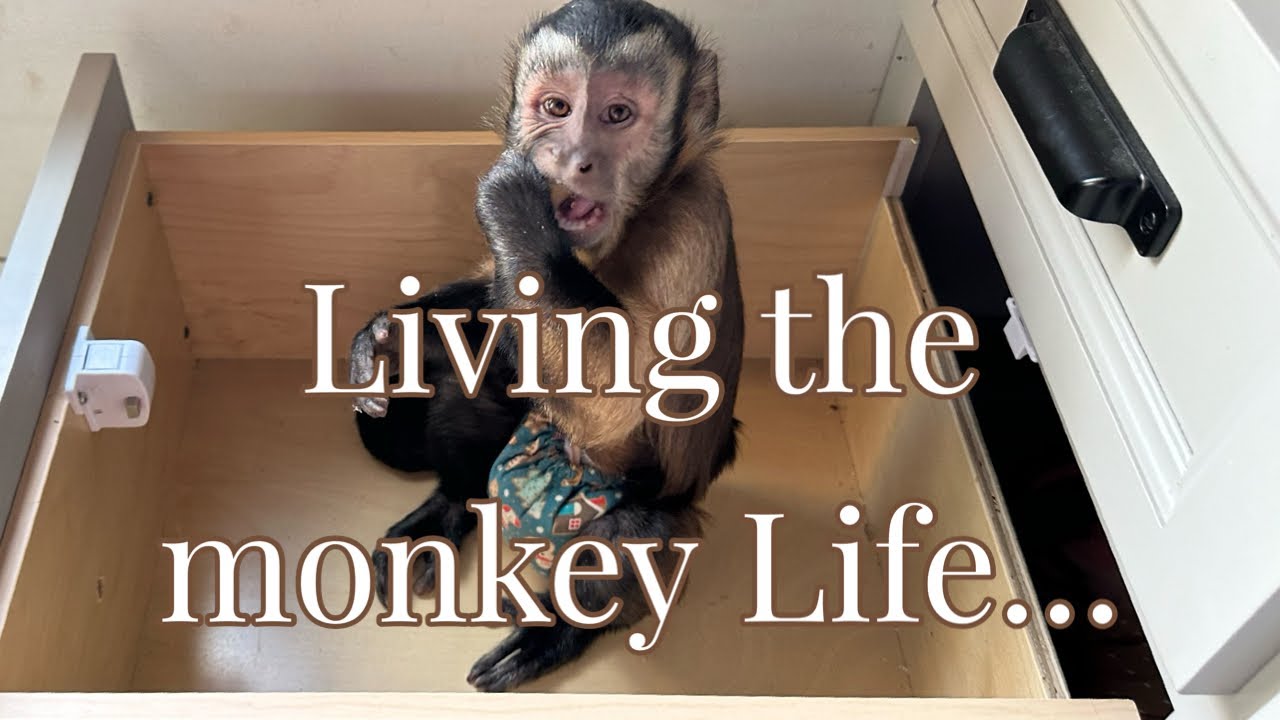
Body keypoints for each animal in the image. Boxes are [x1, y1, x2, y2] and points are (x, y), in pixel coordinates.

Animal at [348, 0, 743, 692]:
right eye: (556, 108)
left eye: (618, 115)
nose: (571, 156)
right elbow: (495, 301)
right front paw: (387, 333)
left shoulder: (693, 217)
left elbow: (626, 399)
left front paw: (515, 207)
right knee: (476, 381)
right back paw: (450, 505)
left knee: (633, 532)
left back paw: (558, 633)